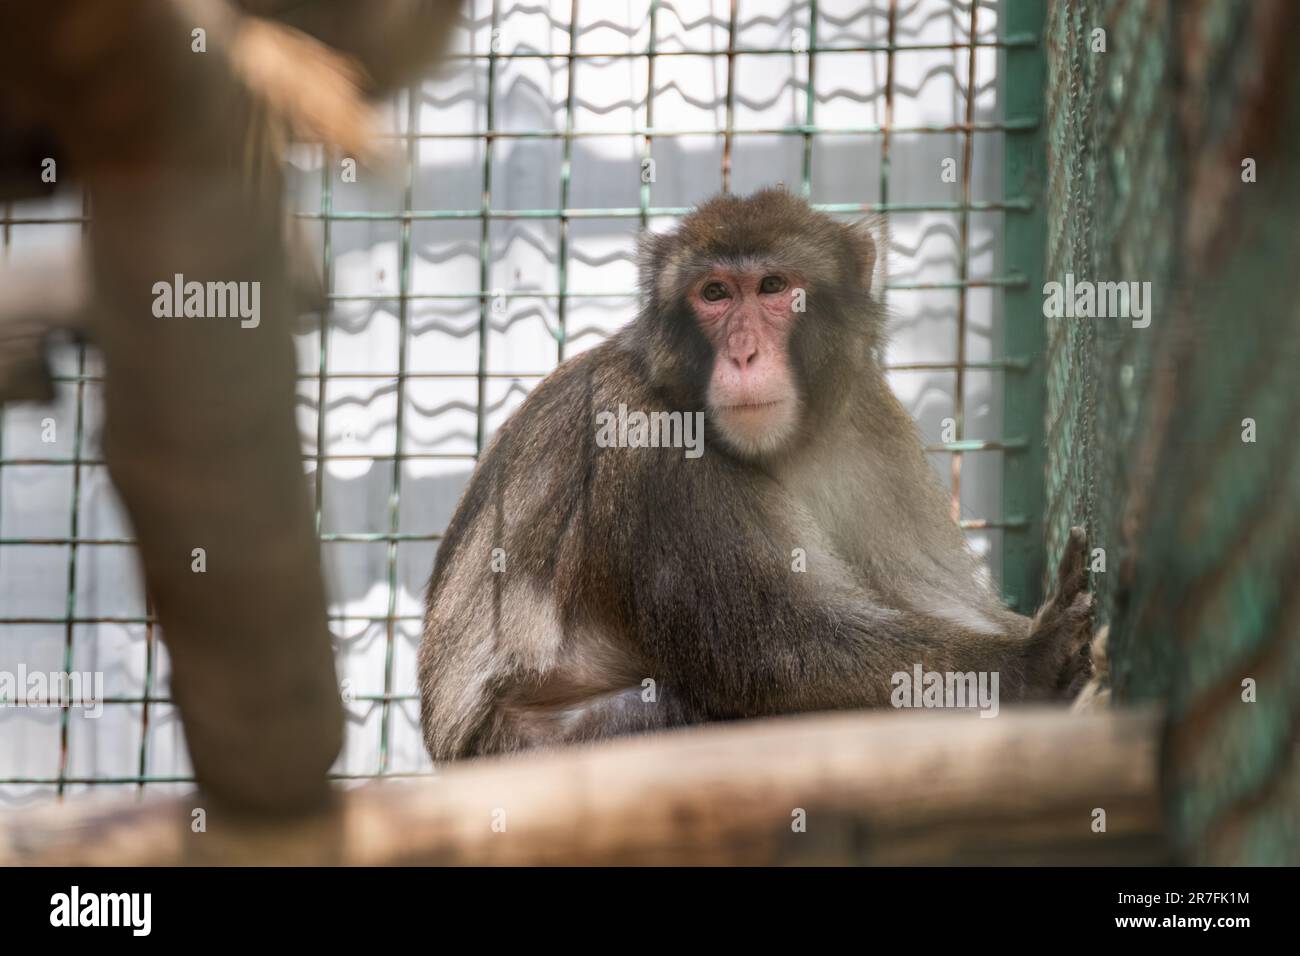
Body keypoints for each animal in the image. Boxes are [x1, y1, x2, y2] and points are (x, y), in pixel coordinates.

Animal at [418, 188, 1094, 761]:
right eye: (715, 293)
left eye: (772, 285)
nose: (743, 353)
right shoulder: (648, 445)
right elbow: (771, 654)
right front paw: (1030, 662)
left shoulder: (868, 421)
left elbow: (932, 597)